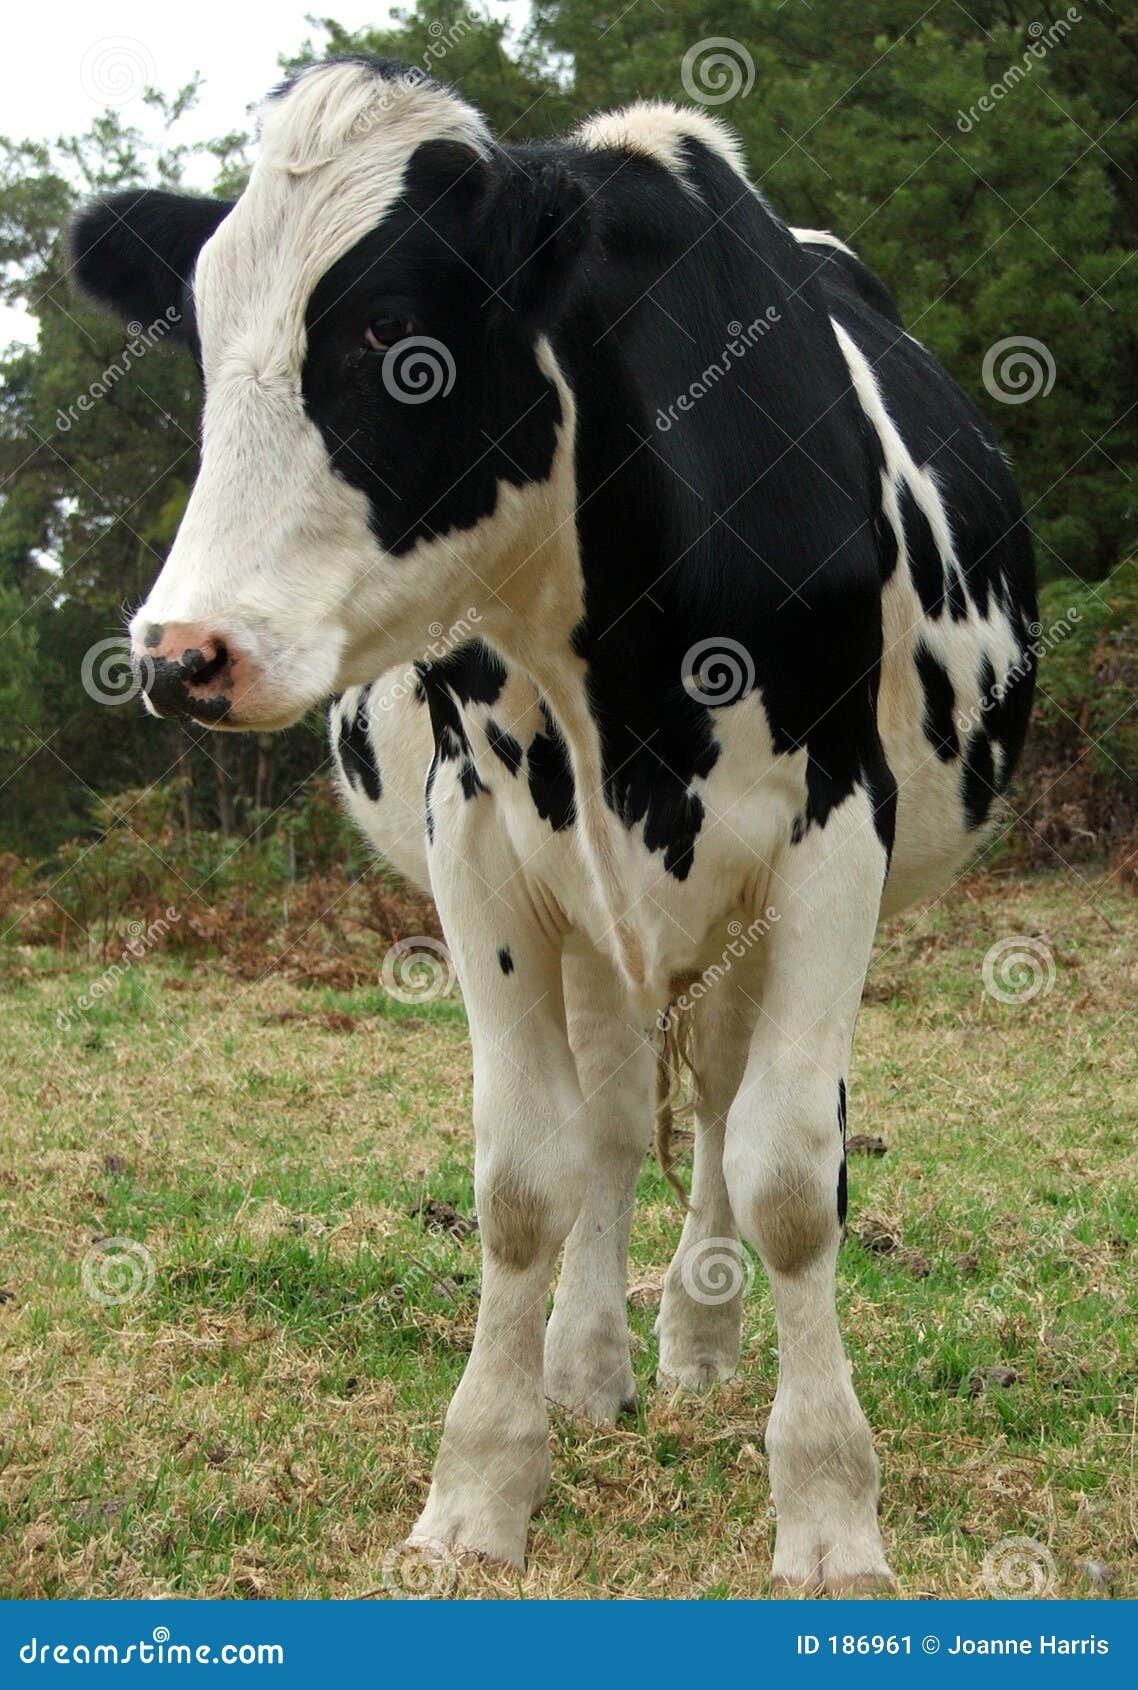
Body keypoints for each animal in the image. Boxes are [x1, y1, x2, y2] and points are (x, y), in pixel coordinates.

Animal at [70, 56, 1036, 1591]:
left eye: (397, 339)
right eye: (208, 347)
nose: (180, 653)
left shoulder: (835, 836)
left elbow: (786, 1170)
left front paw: (830, 1512)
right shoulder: (478, 838)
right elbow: (528, 1169)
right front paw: (477, 1489)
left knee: (717, 1102)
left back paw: (697, 1339)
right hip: (588, 910)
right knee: (613, 1120)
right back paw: (590, 1365)